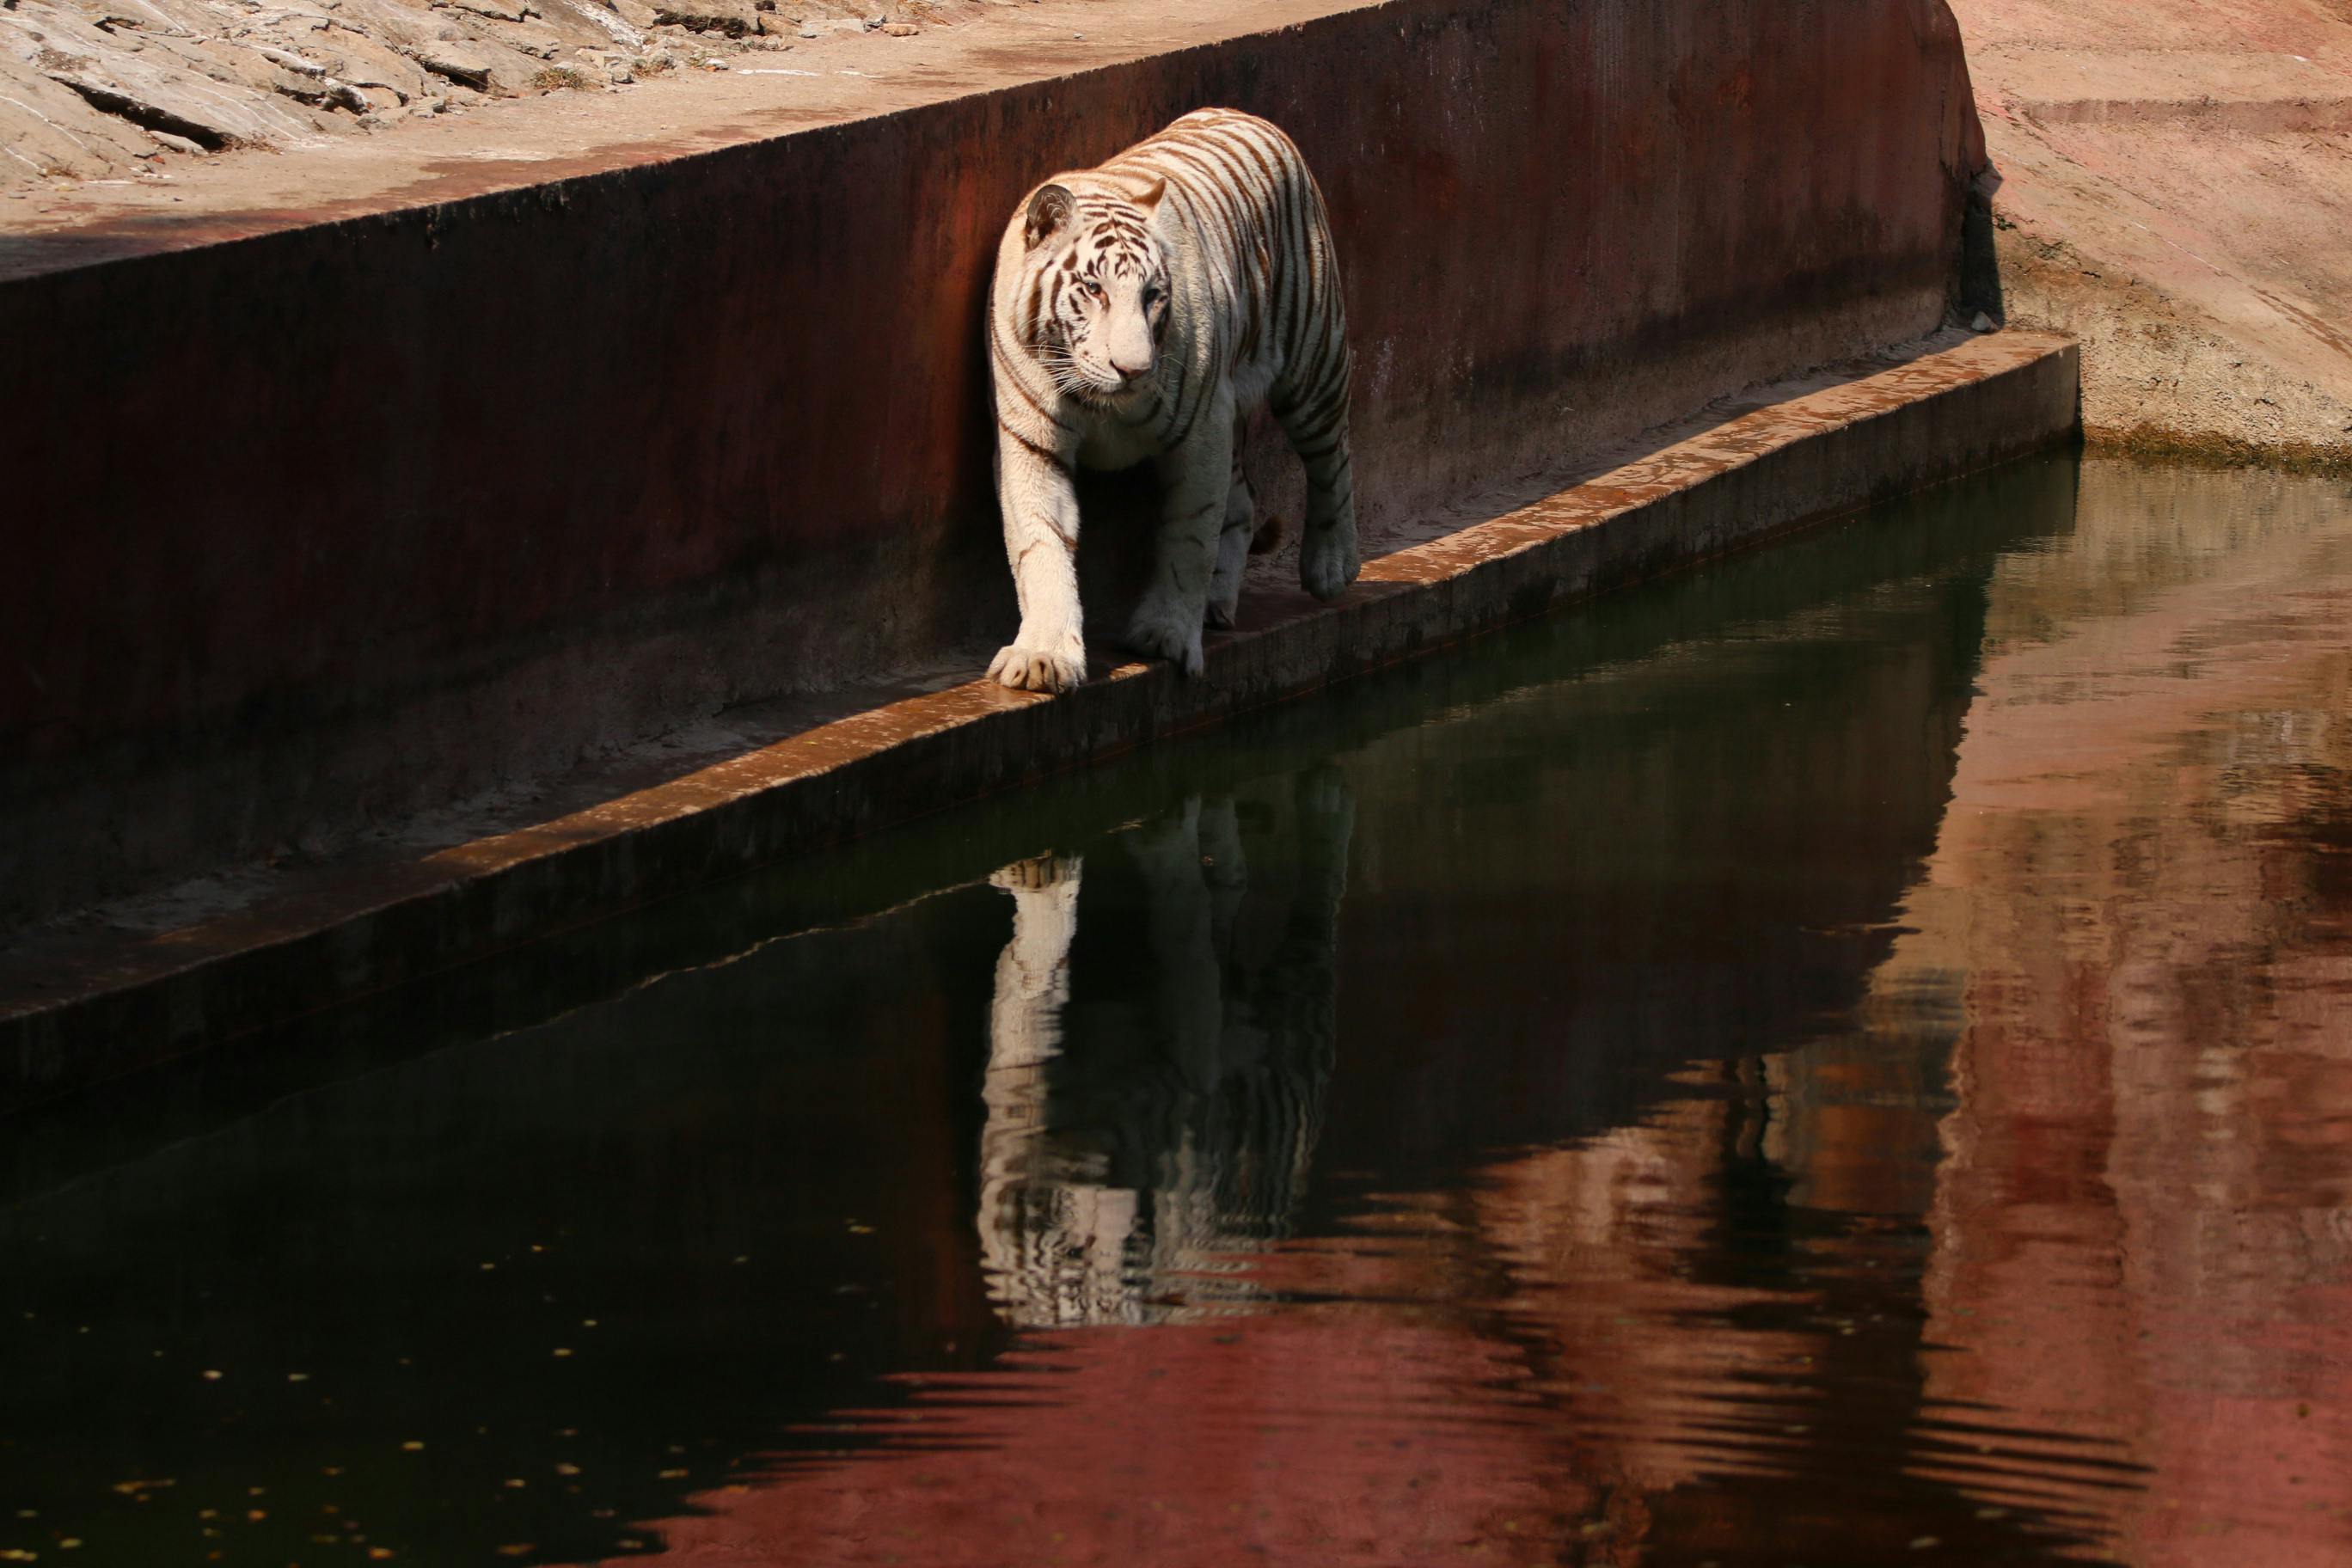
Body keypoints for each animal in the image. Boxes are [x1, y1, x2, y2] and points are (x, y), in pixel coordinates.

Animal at [984, 107, 1360, 694]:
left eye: (1152, 295)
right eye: (1094, 289)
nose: (1134, 370)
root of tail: (1248, 115)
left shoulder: (1201, 432)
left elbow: (1190, 539)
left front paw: (1165, 636)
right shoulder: (1032, 440)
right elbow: (1040, 544)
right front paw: (1043, 657)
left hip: (1312, 356)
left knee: (1332, 455)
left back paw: (1331, 565)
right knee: (1245, 501)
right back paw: (1217, 605)